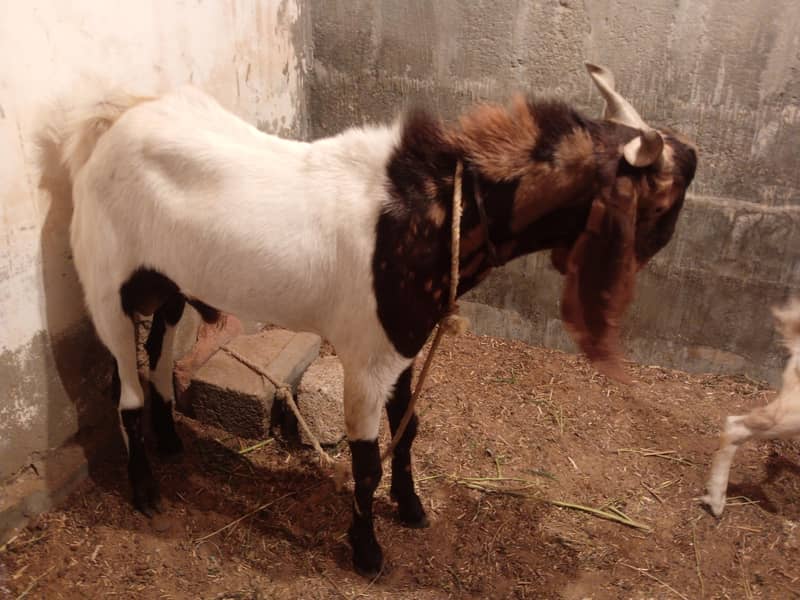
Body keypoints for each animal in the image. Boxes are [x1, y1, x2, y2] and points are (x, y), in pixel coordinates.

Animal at [57, 63, 696, 576]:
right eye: (664, 197)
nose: (655, 250)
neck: (434, 215)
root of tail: (110, 123)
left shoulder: (405, 345)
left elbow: (408, 430)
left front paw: (411, 508)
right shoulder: (365, 358)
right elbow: (365, 461)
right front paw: (366, 552)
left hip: (171, 283)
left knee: (158, 352)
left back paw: (169, 443)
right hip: (104, 283)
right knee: (124, 387)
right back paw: (145, 491)